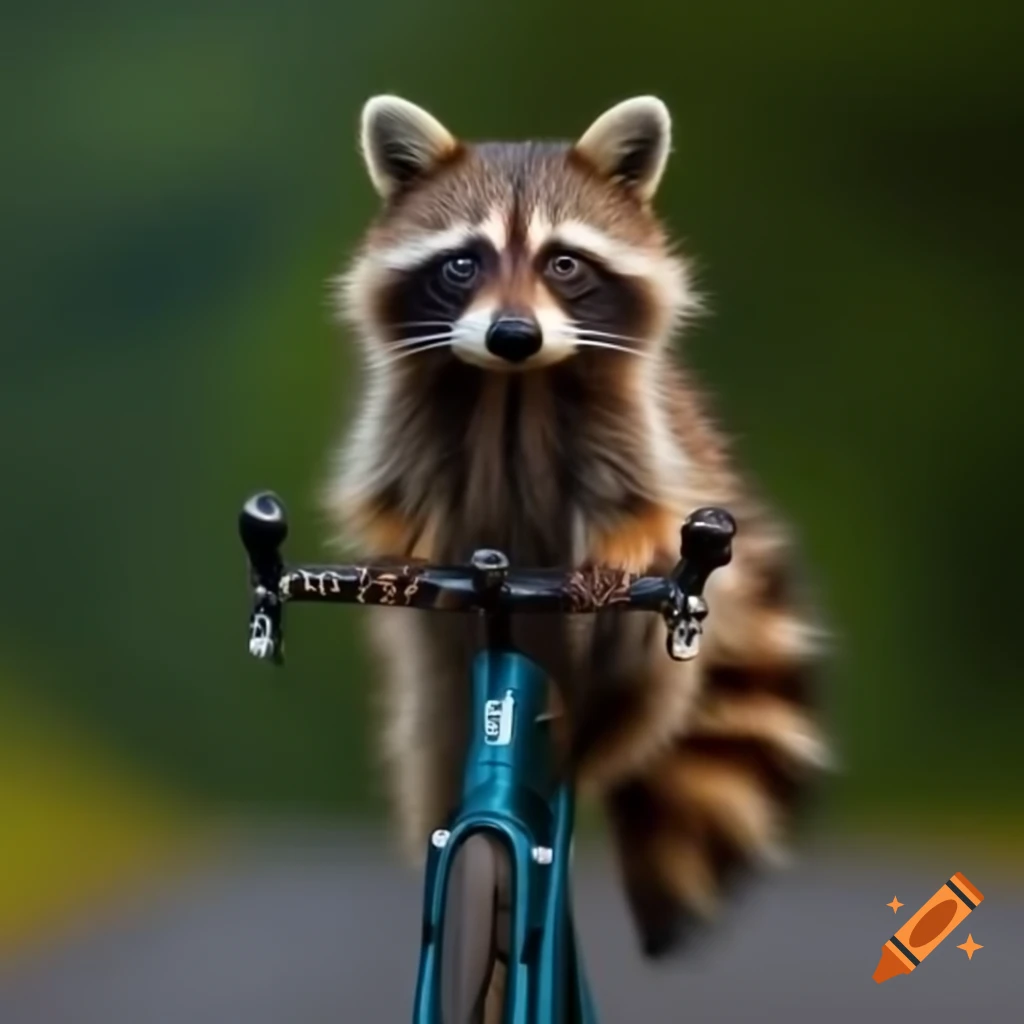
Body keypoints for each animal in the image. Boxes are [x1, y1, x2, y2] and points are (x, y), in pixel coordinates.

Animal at [325, 94, 830, 956]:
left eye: (563, 263)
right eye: (463, 264)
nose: (513, 335)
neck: (512, 388)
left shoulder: (636, 428)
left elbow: (638, 504)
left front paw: (621, 550)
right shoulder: (404, 420)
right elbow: (392, 498)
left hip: (654, 666)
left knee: (624, 700)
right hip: (435, 674)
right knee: (436, 740)